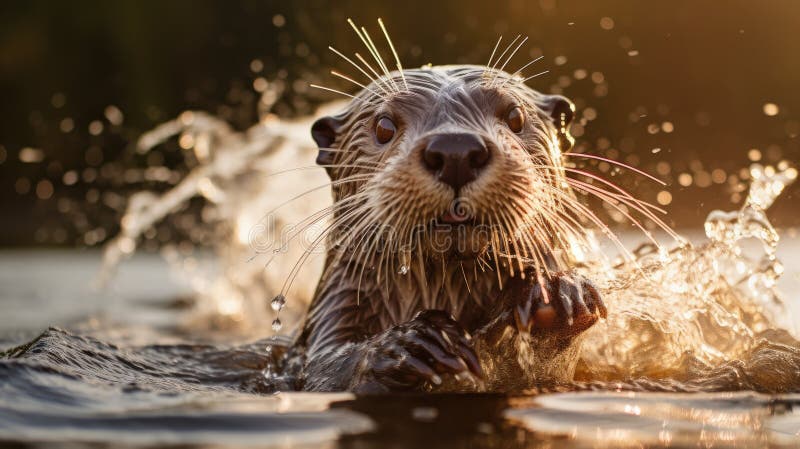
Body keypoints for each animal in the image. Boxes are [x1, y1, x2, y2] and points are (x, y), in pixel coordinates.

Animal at [293, 64, 607, 393]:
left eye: (515, 116)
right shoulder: (334, 310)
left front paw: (559, 293)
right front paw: (412, 347)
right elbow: (327, 372)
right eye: (383, 126)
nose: (455, 149)